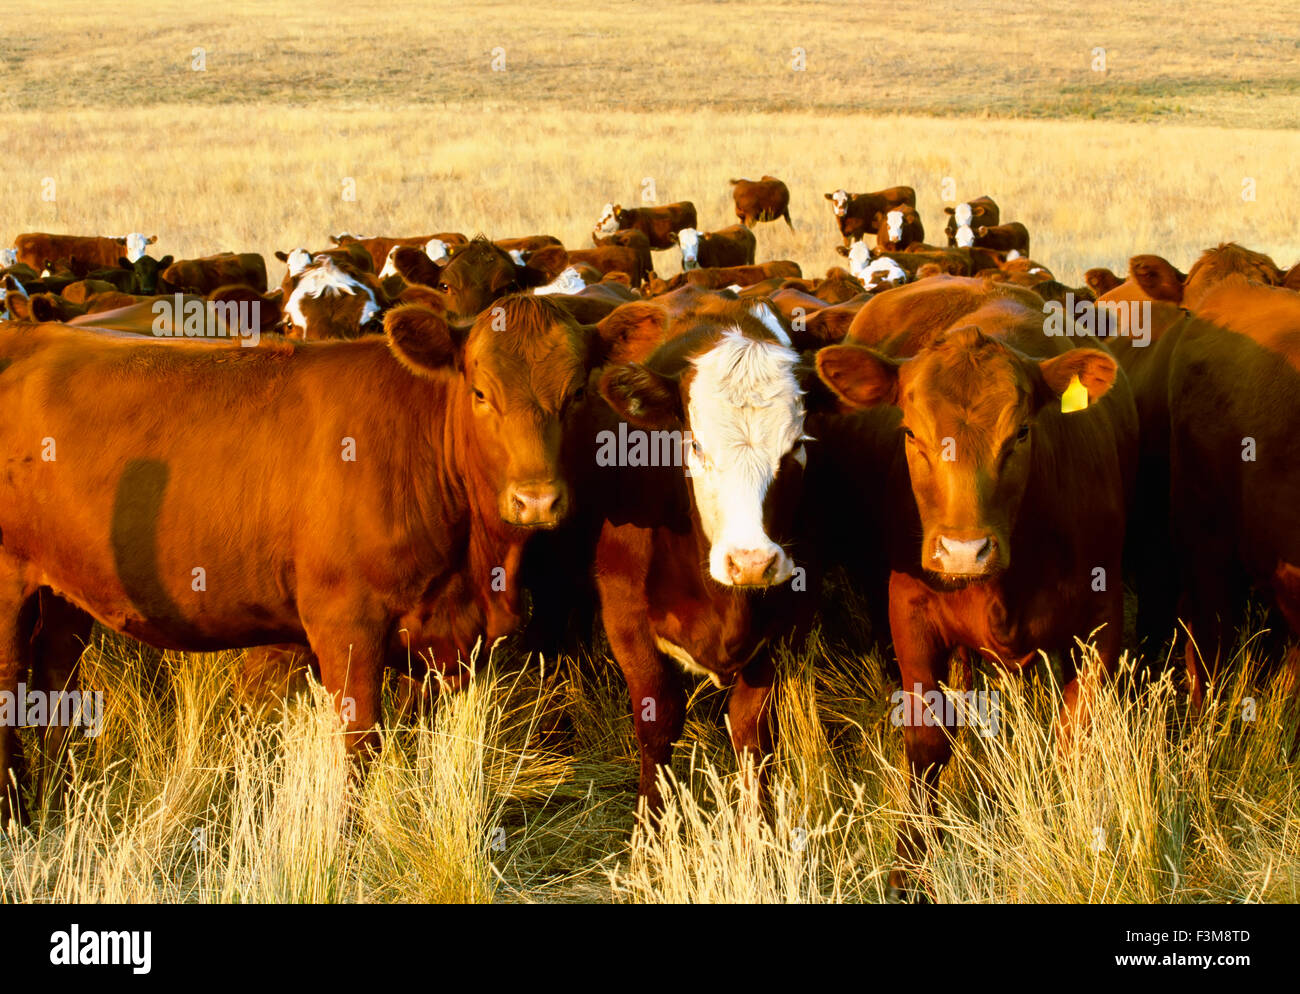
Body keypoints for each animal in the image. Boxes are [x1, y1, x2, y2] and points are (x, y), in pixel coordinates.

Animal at [0, 295, 615, 824]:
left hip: (65, 587)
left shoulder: (446, 644)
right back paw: (17, 816)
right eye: (481, 393)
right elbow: (362, 744)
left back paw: (58, 797)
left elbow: (423, 743)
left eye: (577, 393)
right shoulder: (345, 624)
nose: (536, 499)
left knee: (54, 679)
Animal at [591, 295, 812, 815]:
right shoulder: (624, 620)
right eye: (695, 444)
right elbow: (658, 726)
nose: (751, 563)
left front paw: (758, 823)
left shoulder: (775, 632)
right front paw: (651, 826)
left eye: (795, 446)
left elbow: (752, 731)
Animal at [814, 275, 1137, 900]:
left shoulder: (1102, 617)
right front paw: (910, 864)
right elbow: (927, 742)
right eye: (910, 433)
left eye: (1022, 432)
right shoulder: (909, 610)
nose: (964, 551)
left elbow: (1077, 736)